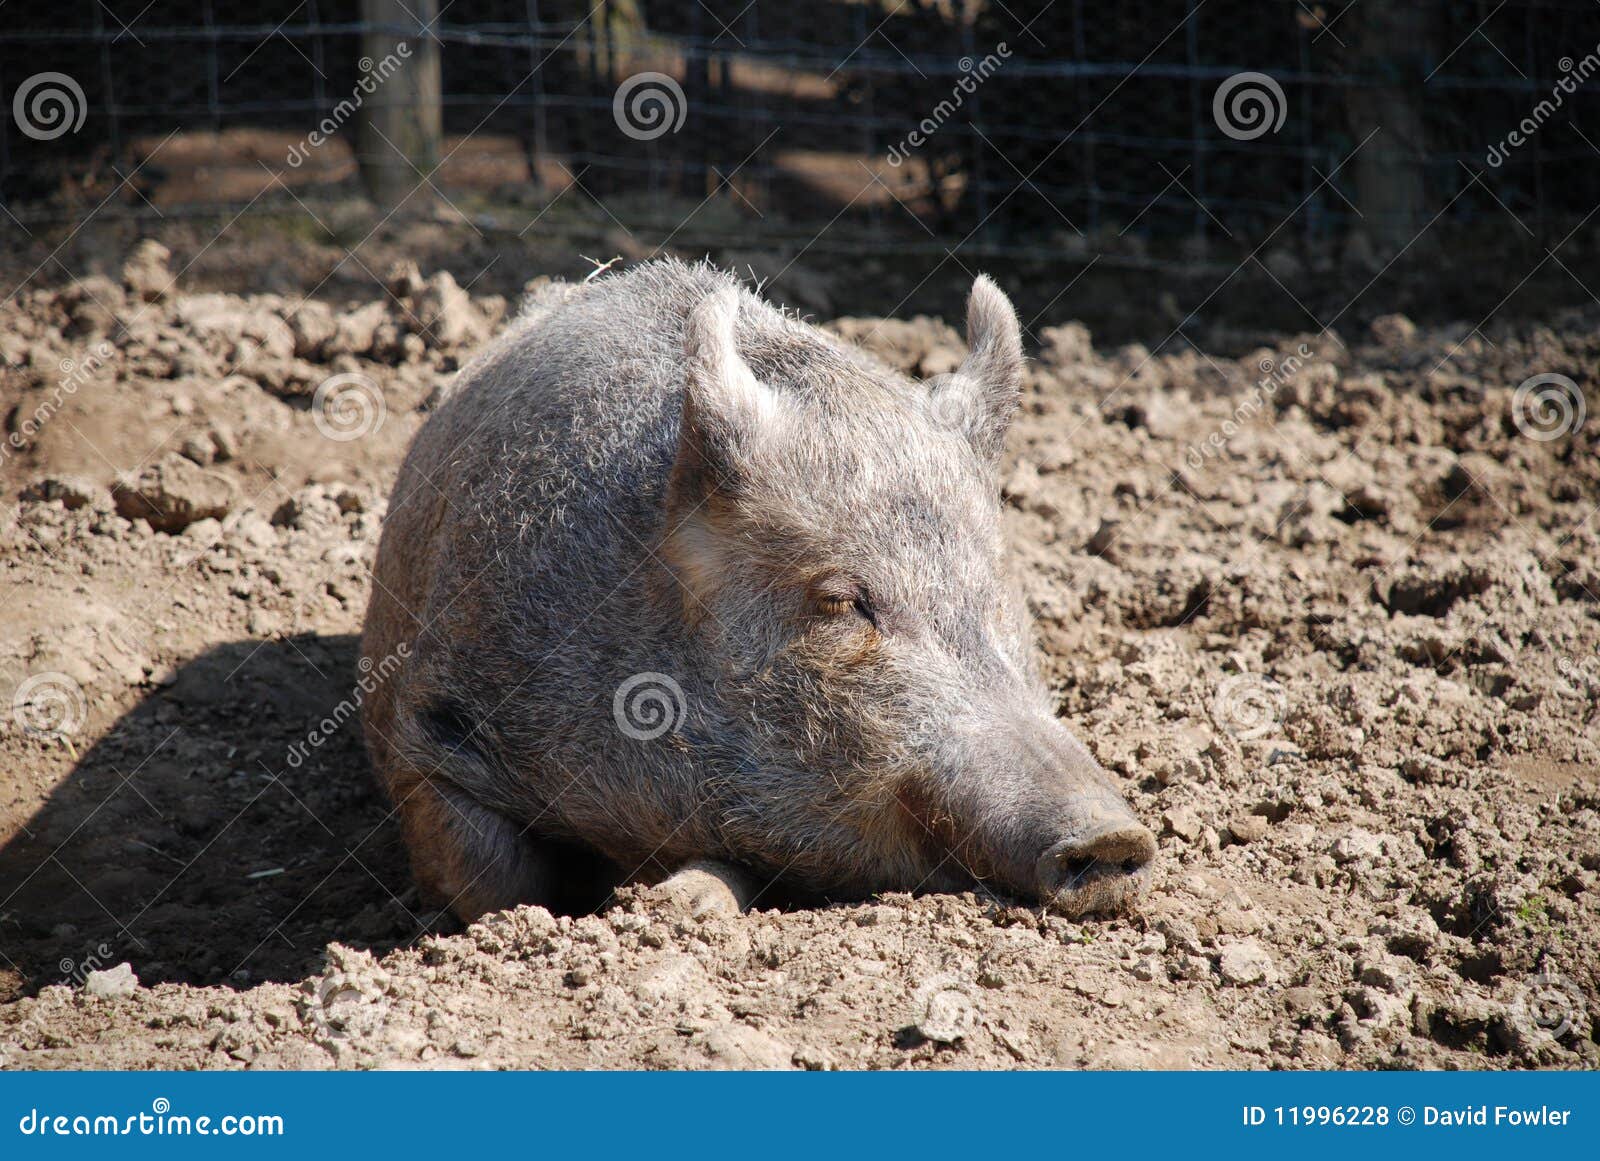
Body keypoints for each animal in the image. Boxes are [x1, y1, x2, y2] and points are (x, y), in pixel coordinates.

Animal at [360, 259, 1155, 923]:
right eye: (841, 599)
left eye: (995, 595)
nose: (1114, 835)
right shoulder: (431, 725)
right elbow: (490, 879)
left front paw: (679, 899)